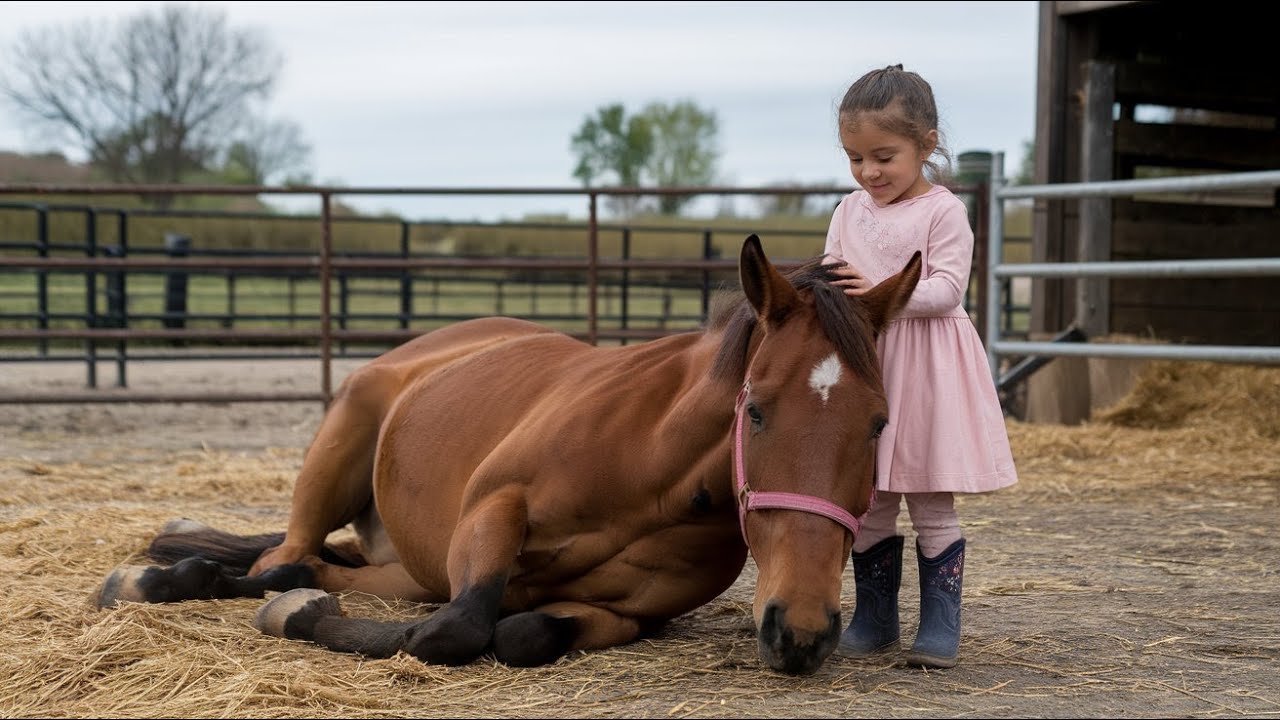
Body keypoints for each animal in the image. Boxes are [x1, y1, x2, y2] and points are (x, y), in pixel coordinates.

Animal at [92, 234, 921, 676]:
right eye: (755, 411)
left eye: (880, 424)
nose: (802, 631)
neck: (658, 477)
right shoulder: (494, 510)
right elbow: (456, 628)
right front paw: (297, 618)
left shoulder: (628, 614)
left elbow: (518, 632)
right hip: (341, 451)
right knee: (283, 560)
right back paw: (153, 580)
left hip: (407, 567)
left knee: (306, 566)